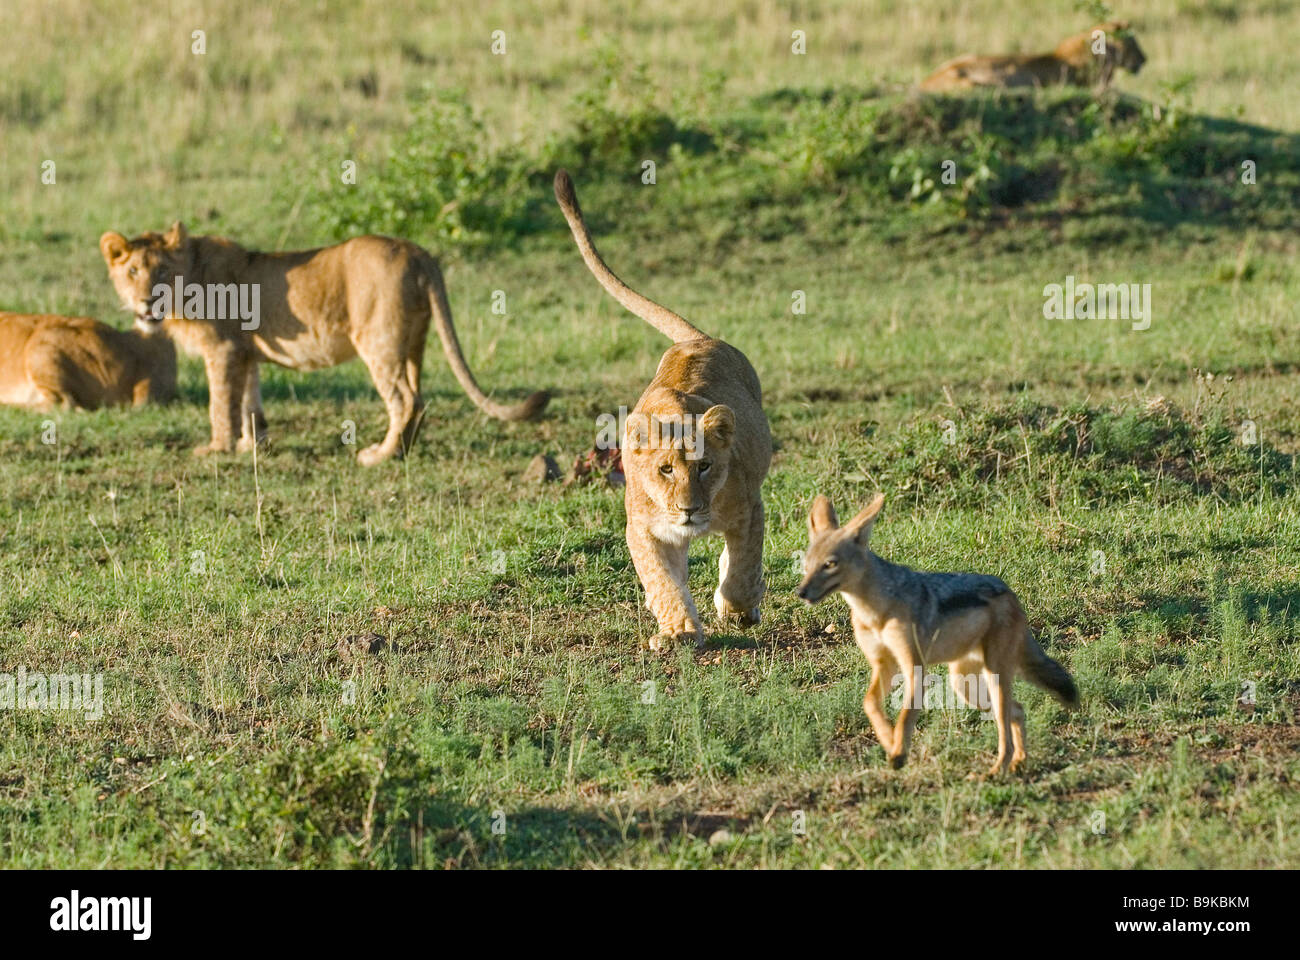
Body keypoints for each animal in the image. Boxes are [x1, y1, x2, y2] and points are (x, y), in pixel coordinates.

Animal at [98, 223, 549, 464]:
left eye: (161, 271)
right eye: (133, 271)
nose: (146, 300)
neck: (190, 275)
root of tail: (416, 251)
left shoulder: (223, 349)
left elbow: (220, 404)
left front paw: (217, 449)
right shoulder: (246, 352)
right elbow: (249, 400)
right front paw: (251, 444)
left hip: (378, 340)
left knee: (404, 399)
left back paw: (379, 456)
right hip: (416, 340)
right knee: (419, 398)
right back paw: (401, 450)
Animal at [553, 170, 771, 650]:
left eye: (705, 466)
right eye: (666, 470)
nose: (689, 509)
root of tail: (697, 338)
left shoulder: (750, 508)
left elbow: (744, 566)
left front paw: (736, 608)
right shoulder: (643, 529)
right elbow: (662, 581)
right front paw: (678, 631)